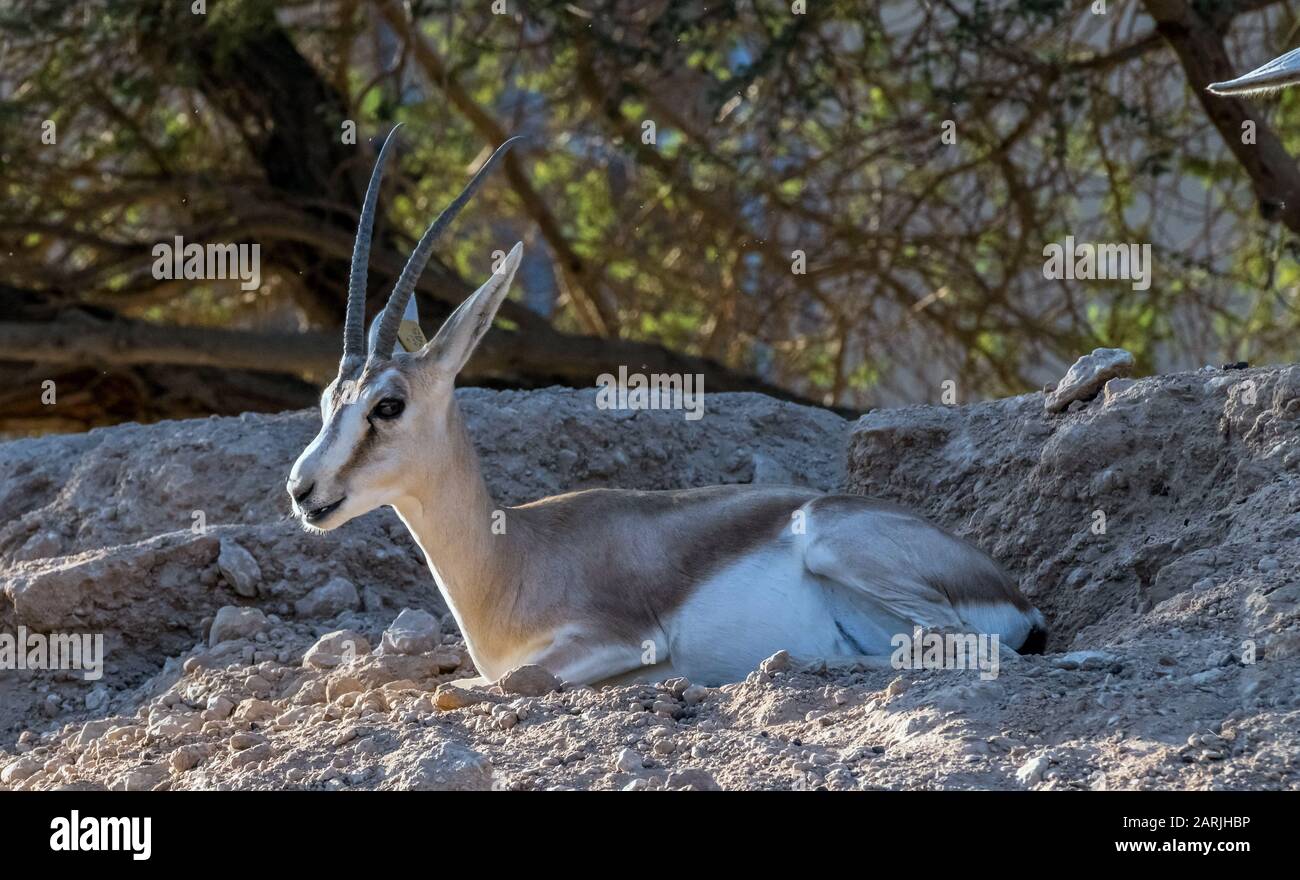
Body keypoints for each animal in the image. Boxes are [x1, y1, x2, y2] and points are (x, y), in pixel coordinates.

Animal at [287, 129, 1047, 687]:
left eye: (388, 405)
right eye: (328, 399)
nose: (302, 490)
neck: (510, 558)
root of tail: (1018, 597)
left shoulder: (619, 639)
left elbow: (497, 683)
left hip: (836, 546)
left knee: (963, 648)